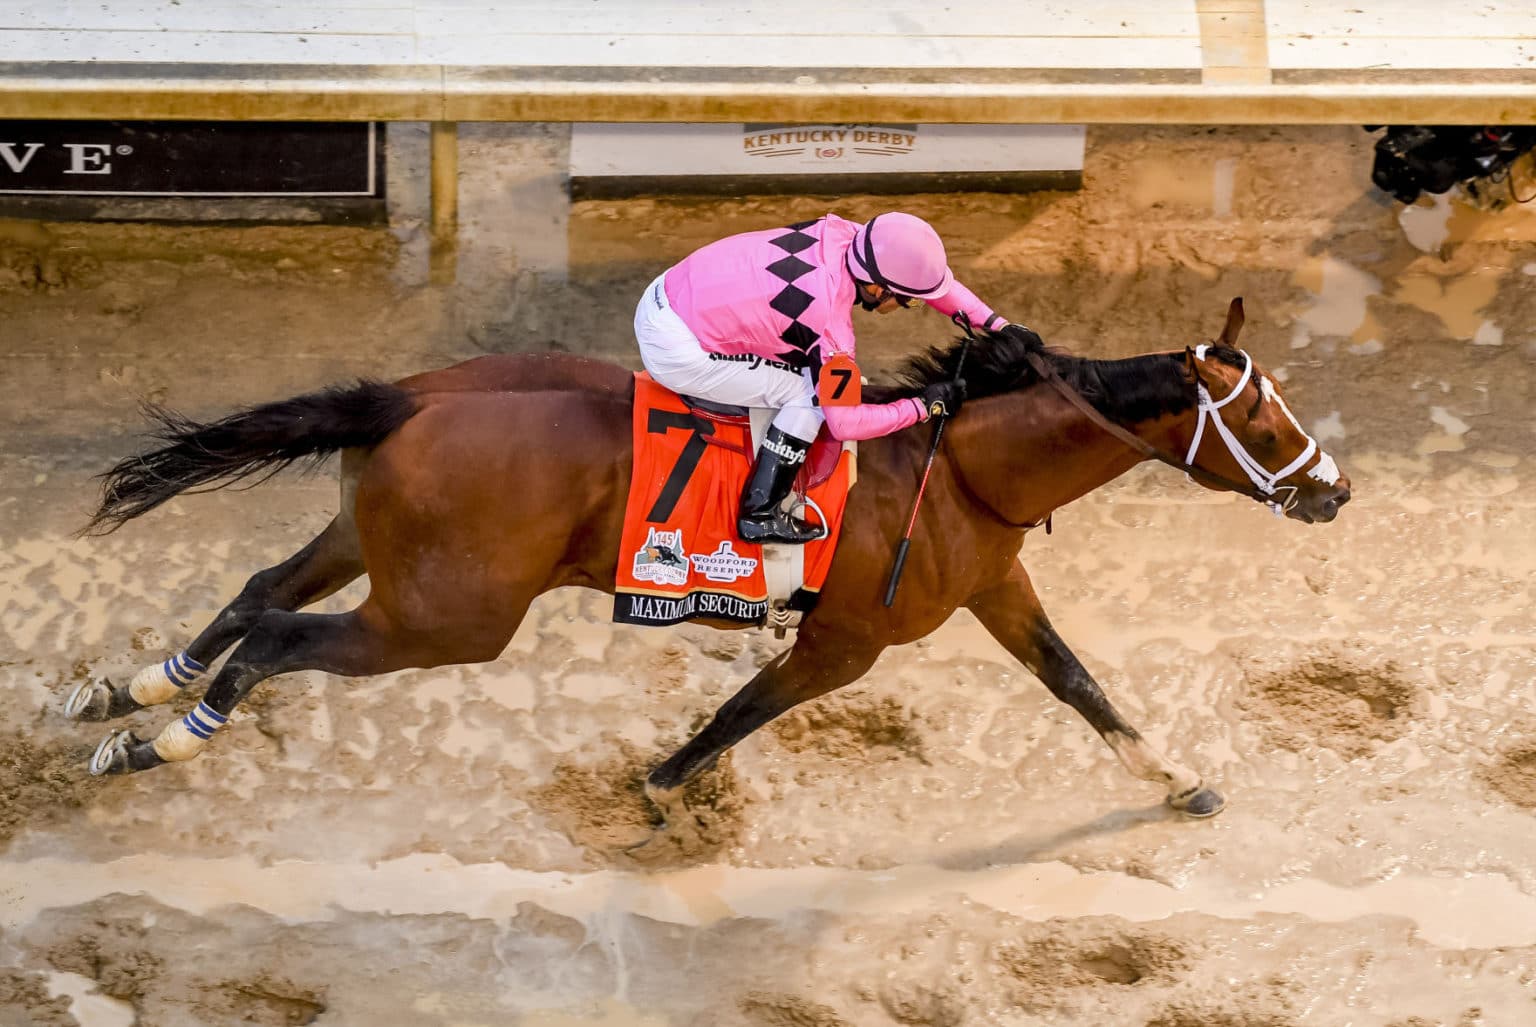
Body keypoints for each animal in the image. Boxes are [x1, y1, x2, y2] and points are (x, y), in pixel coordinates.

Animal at [67, 300, 1350, 835]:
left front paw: (1180, 780)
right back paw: (162, 737)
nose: (1334, 488)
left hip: (367, 548)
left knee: (258, 595)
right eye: (1267, 419)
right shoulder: (847, 642)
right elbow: (740, 712)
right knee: (279, 637)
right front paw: (662, 791)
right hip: (448, 617)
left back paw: (133, 690)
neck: (954, 463)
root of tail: (409, 398)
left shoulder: (996, 588)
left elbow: (1082, 686)